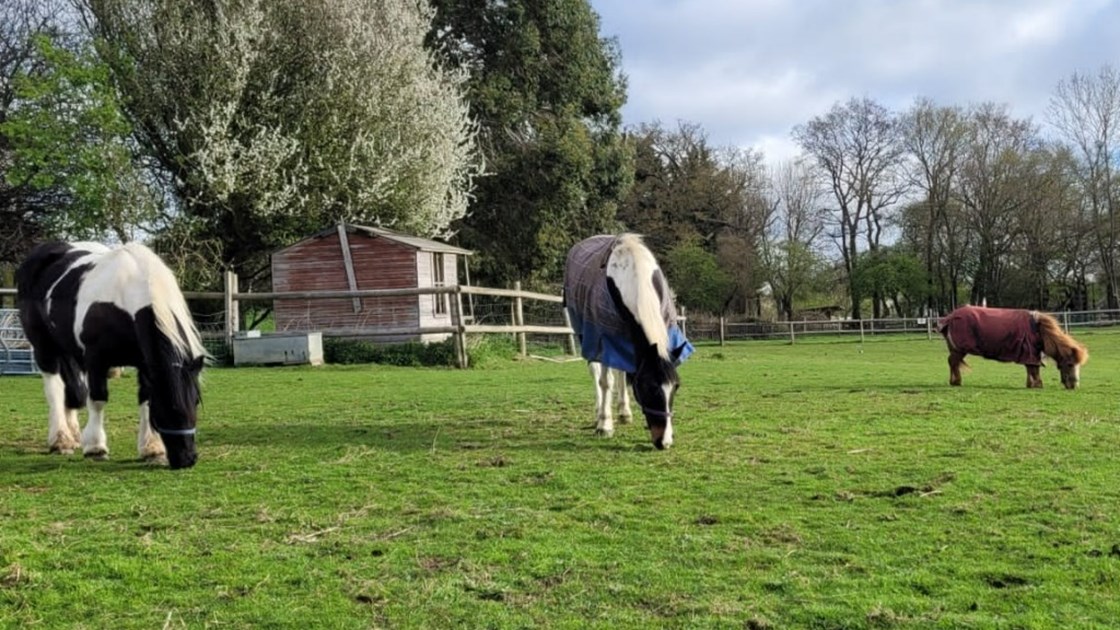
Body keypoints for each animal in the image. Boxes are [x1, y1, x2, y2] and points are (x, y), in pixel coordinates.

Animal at [16, 241, 208, 469]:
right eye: (168, 406)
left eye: (195, 402)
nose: (187, 459)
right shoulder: (96, 361)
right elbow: (98, 400)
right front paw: (95, 448)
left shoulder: (145, 365)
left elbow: (145, 399)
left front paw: (152, 449)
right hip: (45, 348)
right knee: (55, 388)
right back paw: (61, 440)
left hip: (69, 350)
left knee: (74, 390)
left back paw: (73, 435)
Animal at [563, 234, 694, 449]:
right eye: (649, 387)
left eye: (676, 386)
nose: (664, 442)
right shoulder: (604, 339)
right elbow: (605, 381)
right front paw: (604, 425)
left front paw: (623, 413)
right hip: (585, 334)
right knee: (596, 371)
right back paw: (599, 412)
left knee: (621, 372)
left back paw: (624, 412)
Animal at [938, 305, 1088, 389]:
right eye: (1070, 364)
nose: (1074, 386)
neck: (1039, 330)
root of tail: (951, 317)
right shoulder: (1030, 352)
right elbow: (1034, 369)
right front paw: (1037, 384)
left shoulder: (1030, 354)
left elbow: (1030, 369)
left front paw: (1030, 384)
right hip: (959, 349)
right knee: (953, 362)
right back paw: (957, 382)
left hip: (956, 349)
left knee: (953, 362)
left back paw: (954, 381)